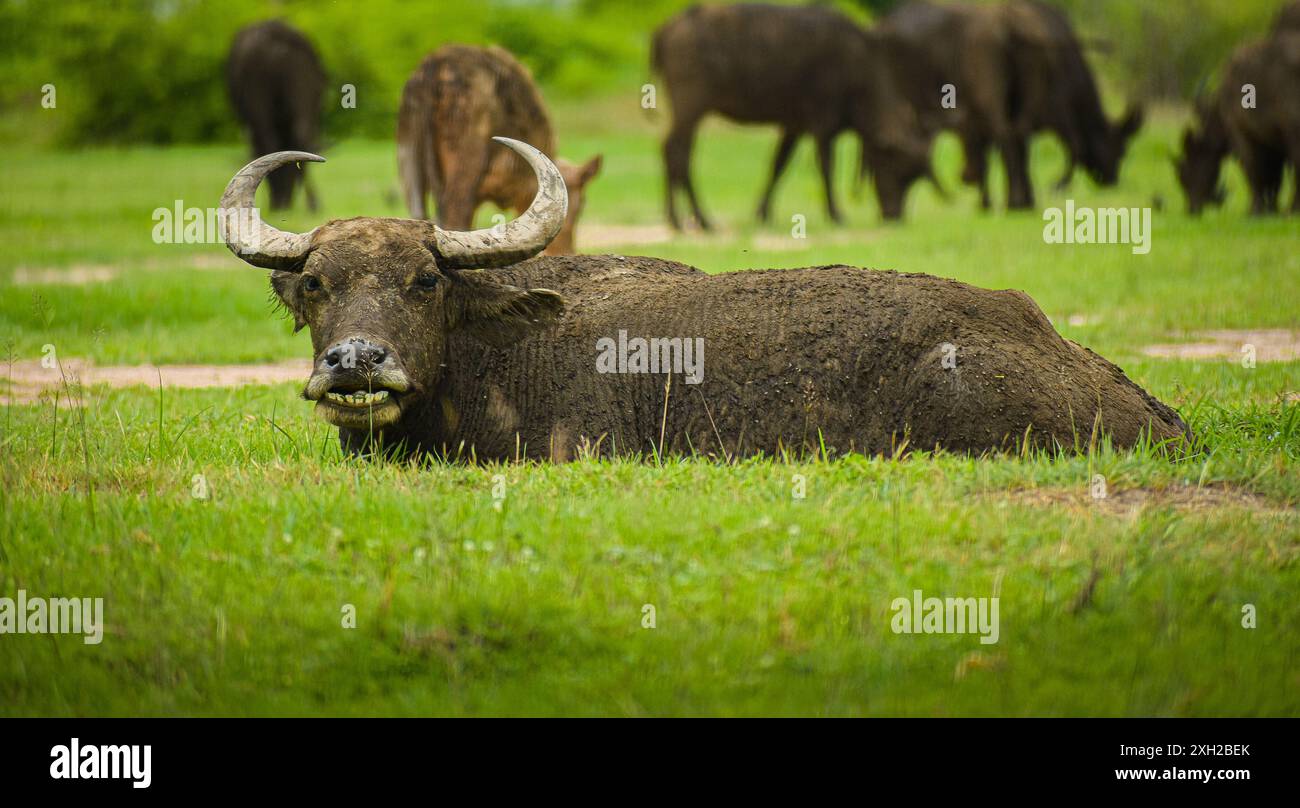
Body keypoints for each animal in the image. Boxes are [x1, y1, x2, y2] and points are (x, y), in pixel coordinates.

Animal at [226, 20, 326, 211]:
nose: (284, 203)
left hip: (259, 98)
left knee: (271, 142)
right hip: (302, 93)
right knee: (301, 136)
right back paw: (311, 203)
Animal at [651, 3, 937, 227]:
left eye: (914, 178)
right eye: (898, 169)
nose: (894, 216)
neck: (859, 69)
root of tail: (667, 29)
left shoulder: (793, 125)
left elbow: (778, 165)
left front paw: (763, 213)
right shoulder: (823, 122)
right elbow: (826, 167)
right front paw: (836, 214)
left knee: (673, 150)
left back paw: (679, 218)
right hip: (690, 106)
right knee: (677, 152)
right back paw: (694, 219)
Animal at [881, 1, 1143, 210]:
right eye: (1121, 149)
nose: (1112, 180)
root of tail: (1012, 27)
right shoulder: (1057, 108)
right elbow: (1068, 147)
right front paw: (1054, 186)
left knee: (1010, 136)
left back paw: (1015, 201)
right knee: (1010, 135)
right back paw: (1016, 201)